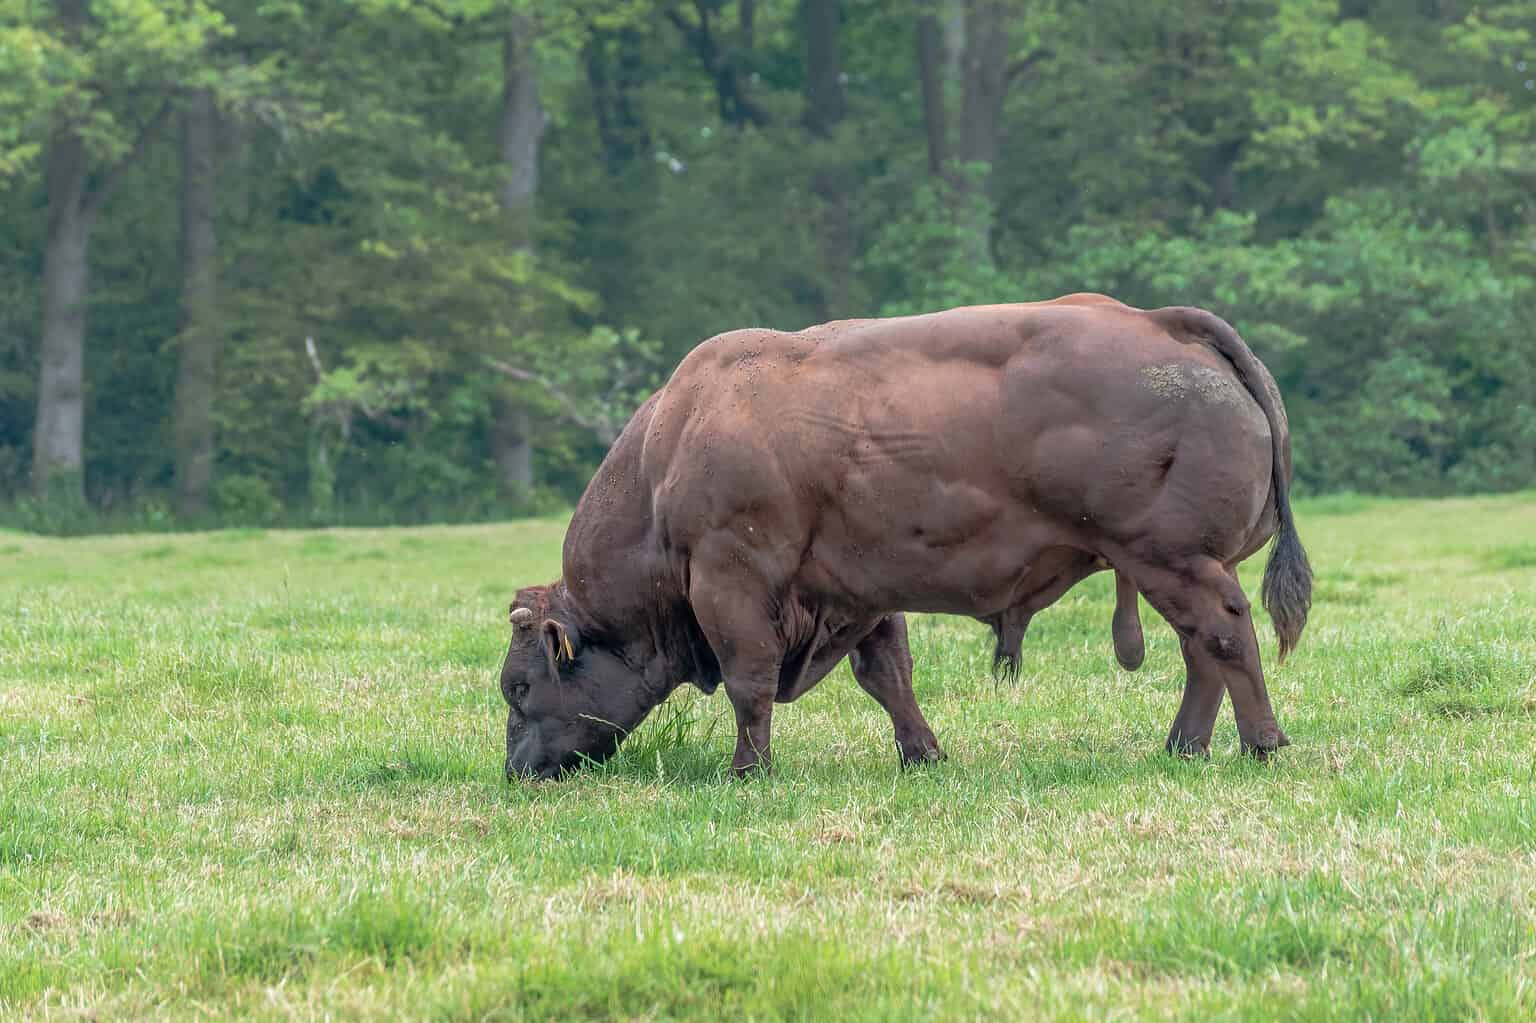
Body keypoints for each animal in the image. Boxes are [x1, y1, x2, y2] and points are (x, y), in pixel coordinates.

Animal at [499, 294, 1312, 779]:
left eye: (519, 686)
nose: (517, 770)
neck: (668, 456)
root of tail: (1164, 321)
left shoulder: (732, 582)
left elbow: (748, 680)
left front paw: (747, 770)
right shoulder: (857, 592)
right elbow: (888, 675)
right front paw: (924, 754)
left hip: (1170, 559)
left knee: (1224, 633)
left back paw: (1262, 743)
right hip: (1166, 566)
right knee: (1201, 647)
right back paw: (1184, 746)